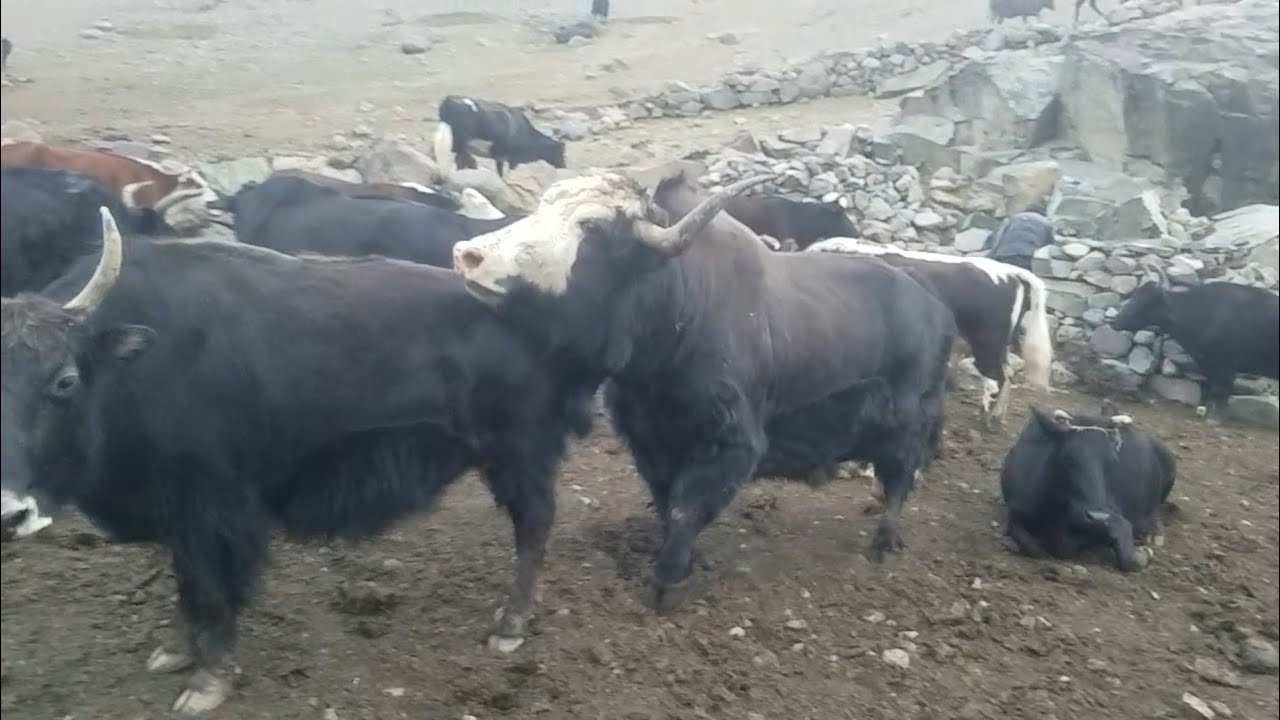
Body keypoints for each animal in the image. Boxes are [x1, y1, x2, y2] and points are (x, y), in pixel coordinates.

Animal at [2, 207, 594, 713]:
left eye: (64, 380)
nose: (11, 513)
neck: (135, 368)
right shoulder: (177, 512)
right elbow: (185, 581)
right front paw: (173, 650)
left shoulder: (213, 504)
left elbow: (209, 585)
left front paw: (207, 680)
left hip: (520, 452)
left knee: (534, 525)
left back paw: (510, 626)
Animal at [438, 96, 566, 177]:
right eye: (561, 153)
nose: (564, 166)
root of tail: (449, 99)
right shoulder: (513, 159)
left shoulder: (500, 157)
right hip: (459, 142)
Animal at [808, 239, 1053, 425]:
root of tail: (1009, 271)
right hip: (1000, 345)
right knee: (1007, 375)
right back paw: (996, 417)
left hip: (986, 342)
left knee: (995, 379)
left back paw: (983, 419)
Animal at [1110, 278, 1279, 421]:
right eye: (1134, 297)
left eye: (1146, 303)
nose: (1116, 321)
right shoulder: (1206, 362)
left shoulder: (1226, 363)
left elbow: (1221, 389)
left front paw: (1216, 418)